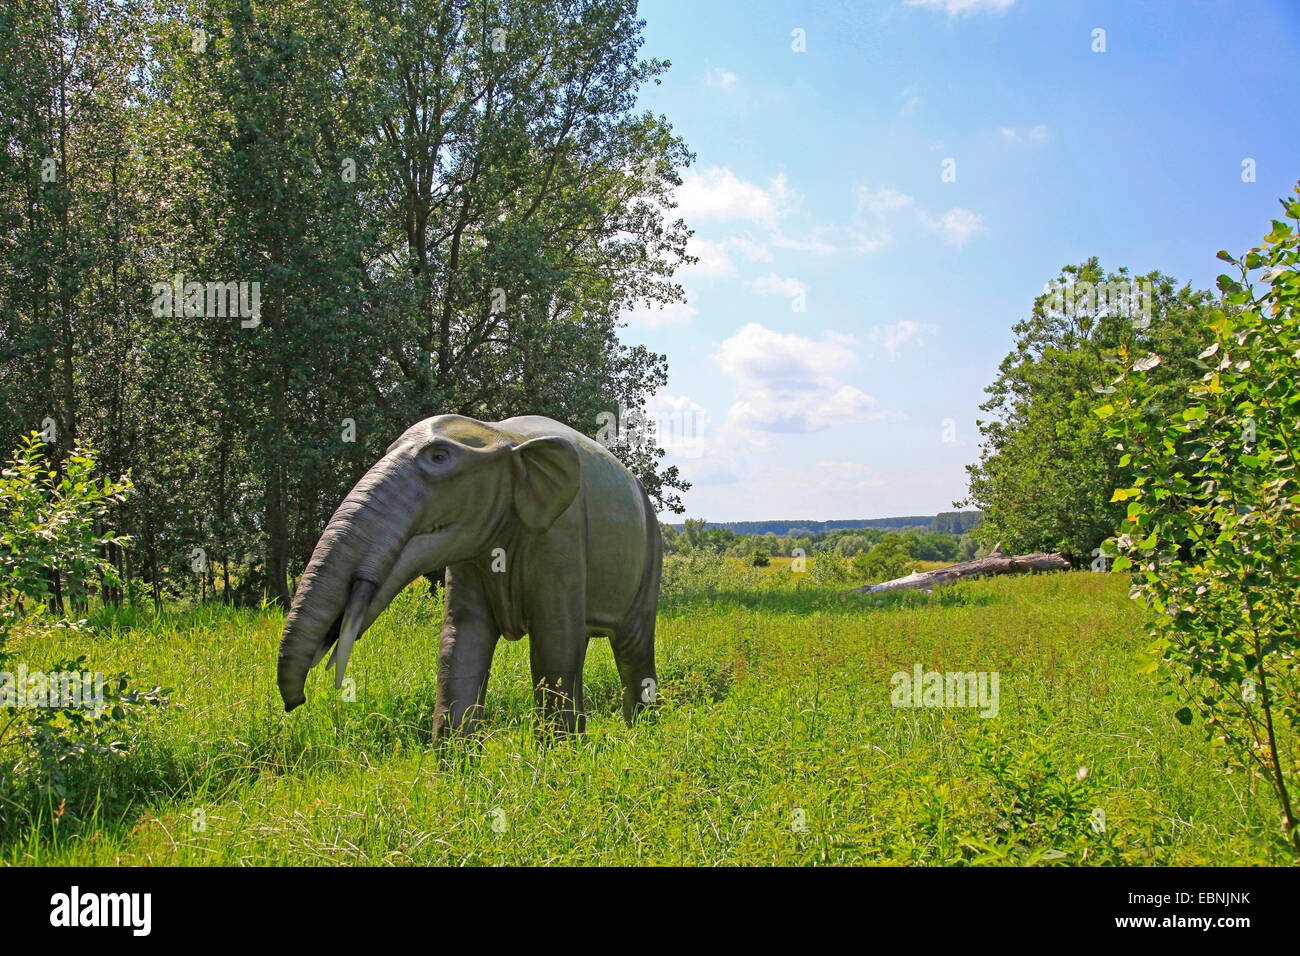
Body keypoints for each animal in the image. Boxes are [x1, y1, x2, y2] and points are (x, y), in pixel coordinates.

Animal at [276, 414, 662, 739]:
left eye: (439, 457)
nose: (298, 702)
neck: (503, 436)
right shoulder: (468, 551)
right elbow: (460, 640)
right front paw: (451, 772)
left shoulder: (560, 535)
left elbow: (553, 642)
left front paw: (559, 758)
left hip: (650, 555)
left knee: (632, 646)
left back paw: (640, 735)